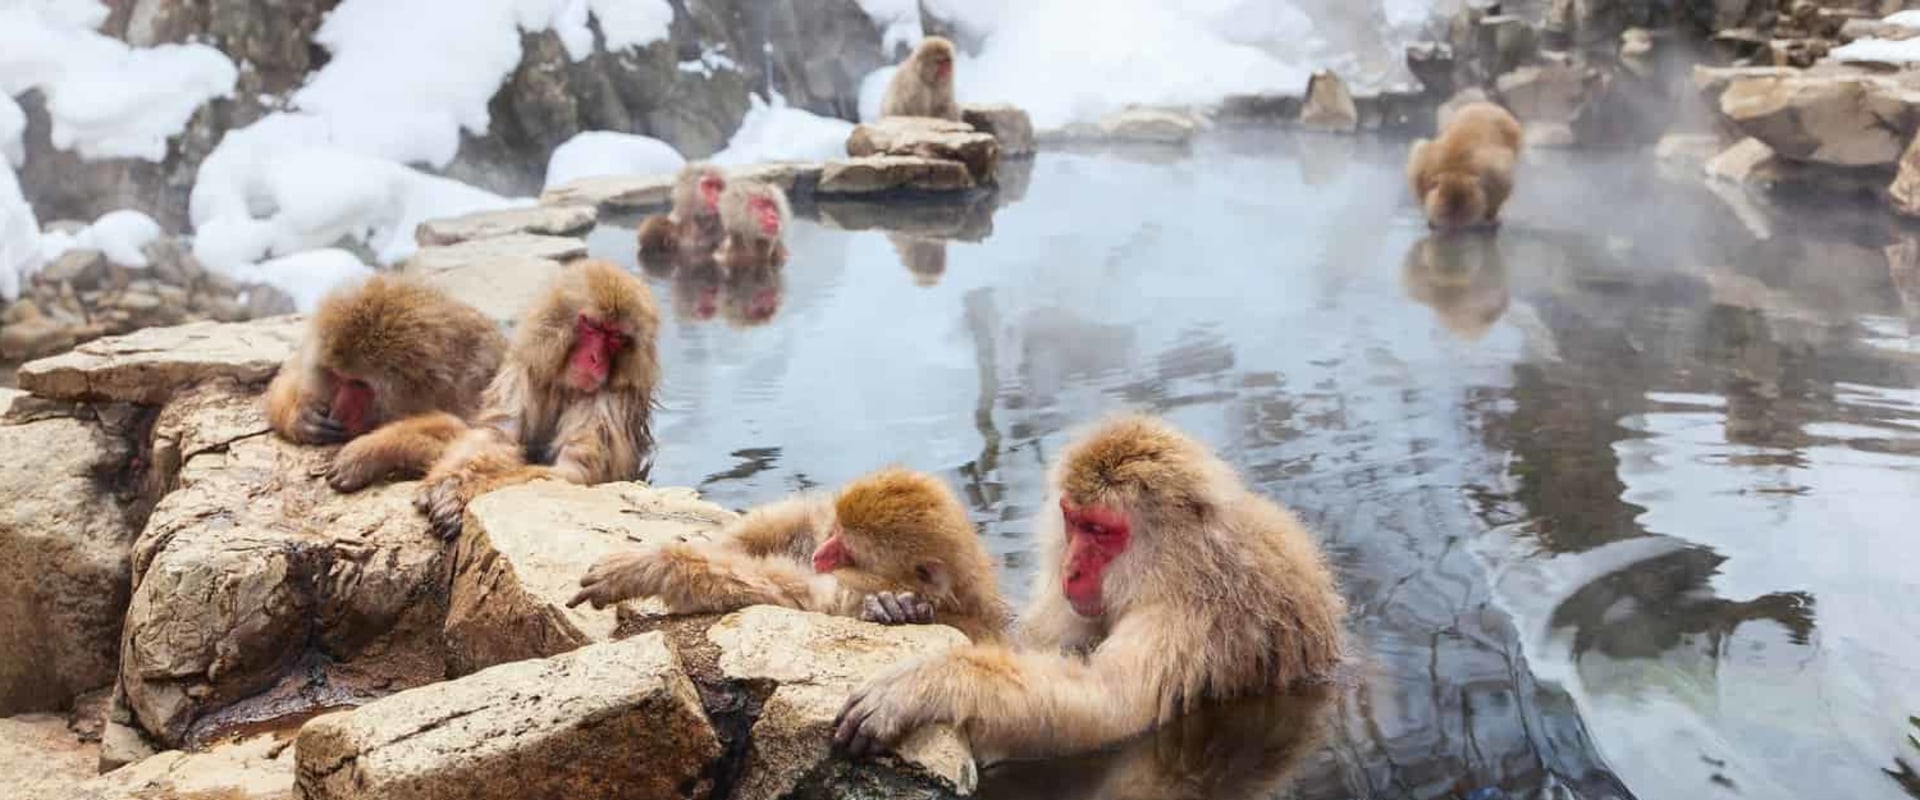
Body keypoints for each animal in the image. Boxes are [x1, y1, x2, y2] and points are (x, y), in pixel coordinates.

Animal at [263, 276, 506, 492]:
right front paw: (302, 415)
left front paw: (368, 452)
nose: (339, 410)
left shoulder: (471, 390)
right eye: (338, 377)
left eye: (359, 384)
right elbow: (293, 371)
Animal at [414, 259, 661, 539]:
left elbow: (572, 472)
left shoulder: (611, 401)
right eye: (593, 326)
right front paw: (444, 481)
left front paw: (460, 496)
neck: (568, 386)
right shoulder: (525, 369)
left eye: (616, 337)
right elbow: (496, 435)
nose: (595, 359)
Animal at [566, 467, 1011, 643]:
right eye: (836, 533)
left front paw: (649, 567)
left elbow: (790, 596)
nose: (822, 553)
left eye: (846, 551)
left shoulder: (852, 590)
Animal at [832, 414, 1347, 760]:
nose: (1072, 568)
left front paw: (930, 680)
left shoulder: (1189, 615)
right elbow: (1034, 643)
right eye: (1074, 521)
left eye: (1101, 531)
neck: (1182, 563)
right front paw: (902, 608)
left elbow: (1110, 708)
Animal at [1406, 101, 1522, 232]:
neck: (1457, 169)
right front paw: (1432, 222)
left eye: (1469, 194)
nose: (1454, 220)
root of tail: (1485, 105)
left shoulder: (1498, 176)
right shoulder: (1421, 168)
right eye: (1441, 193)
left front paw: (1491, 219)